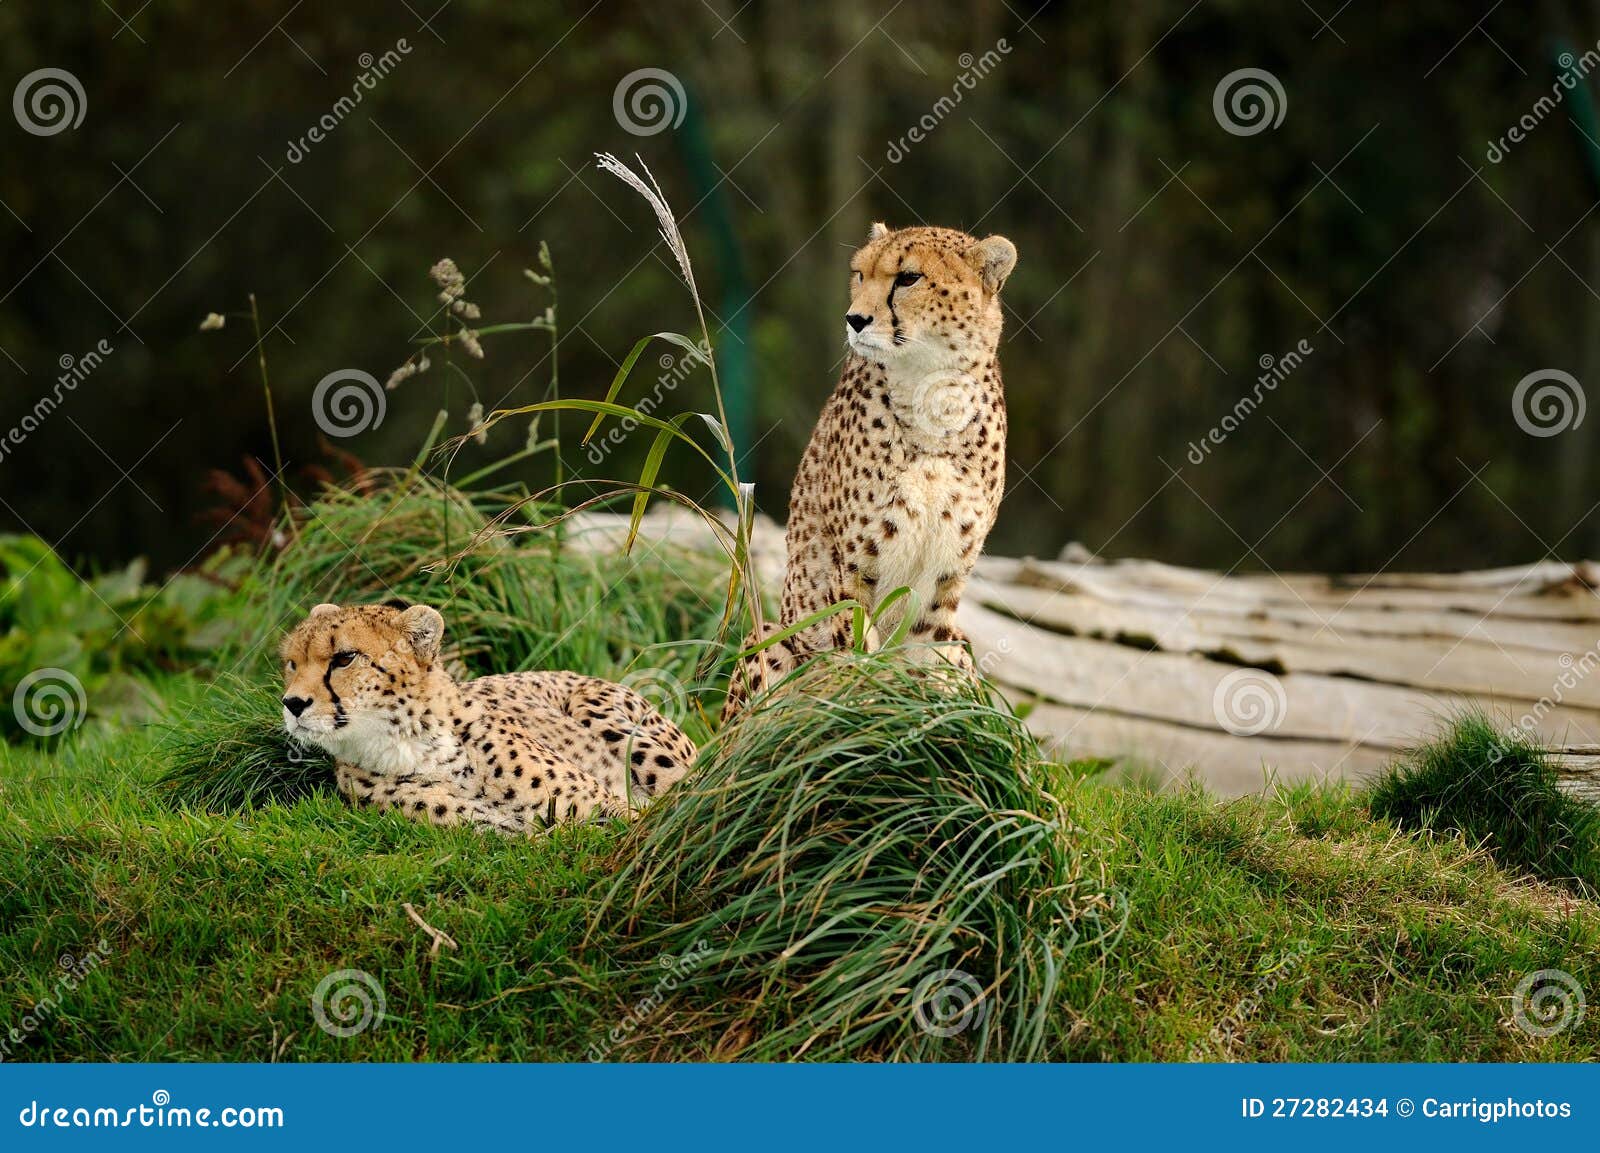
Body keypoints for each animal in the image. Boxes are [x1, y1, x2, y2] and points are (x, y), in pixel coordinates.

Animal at [279, 601, 696, 834]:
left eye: (344, 658)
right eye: (292, 663)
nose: (292, 703)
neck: (411, 745)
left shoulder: (606, 805)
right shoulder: (503, 834)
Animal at [724, 222, 1016, 720]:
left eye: (909, 278)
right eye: (860, 274)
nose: (854, 319)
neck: (933, 396)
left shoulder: (945, 577)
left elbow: (926, 661)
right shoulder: (852, 567)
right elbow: (860, 654)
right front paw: (866, 707)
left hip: (963, 646)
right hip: (772, 635)